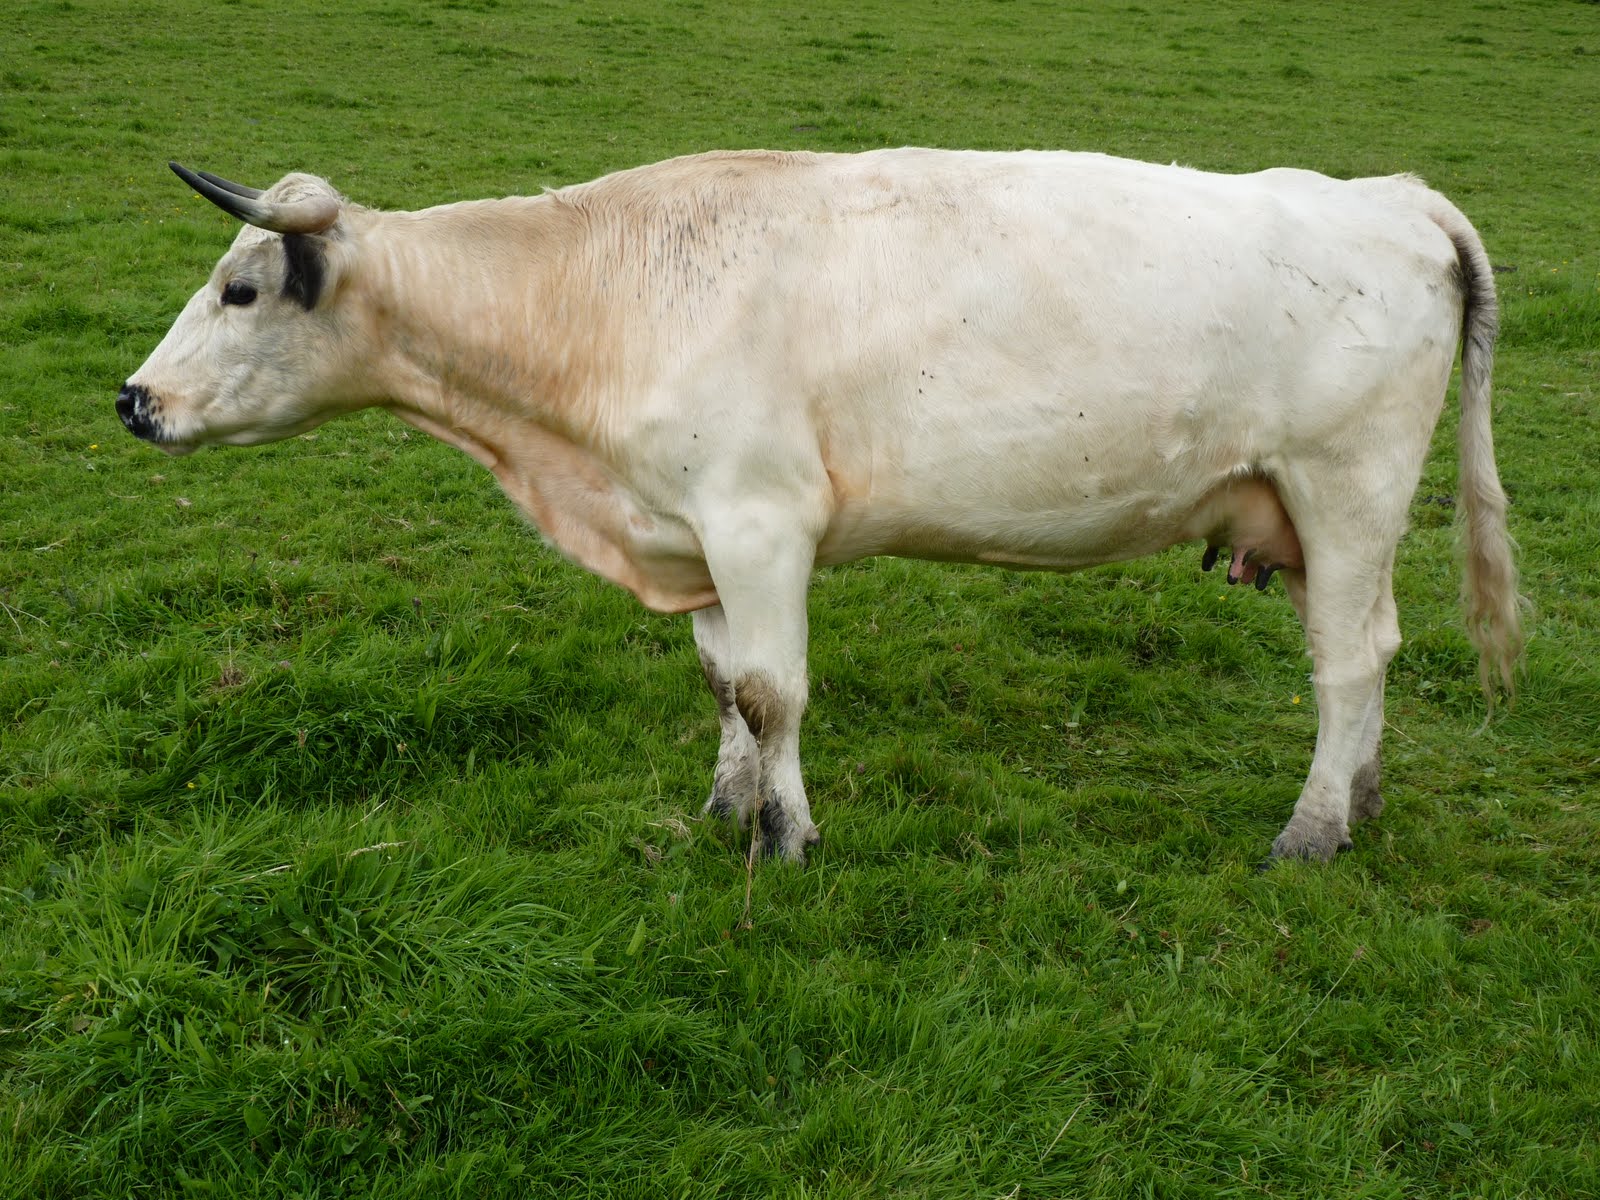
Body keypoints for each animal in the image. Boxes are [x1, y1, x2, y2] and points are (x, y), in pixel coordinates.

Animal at [118, 148, 1523, 864]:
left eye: (241, 290)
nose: (135, 401)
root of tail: (1391, 195)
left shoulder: (759, 521)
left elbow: (770, 691)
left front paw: (784, 836)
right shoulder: (691, 528)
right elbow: (719, 682)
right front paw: (727, 807)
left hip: (1345, 486)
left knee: (1346, 663)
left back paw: (1312, 829)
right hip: (1321, 512)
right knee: (1373, 651)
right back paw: (1363, 801)